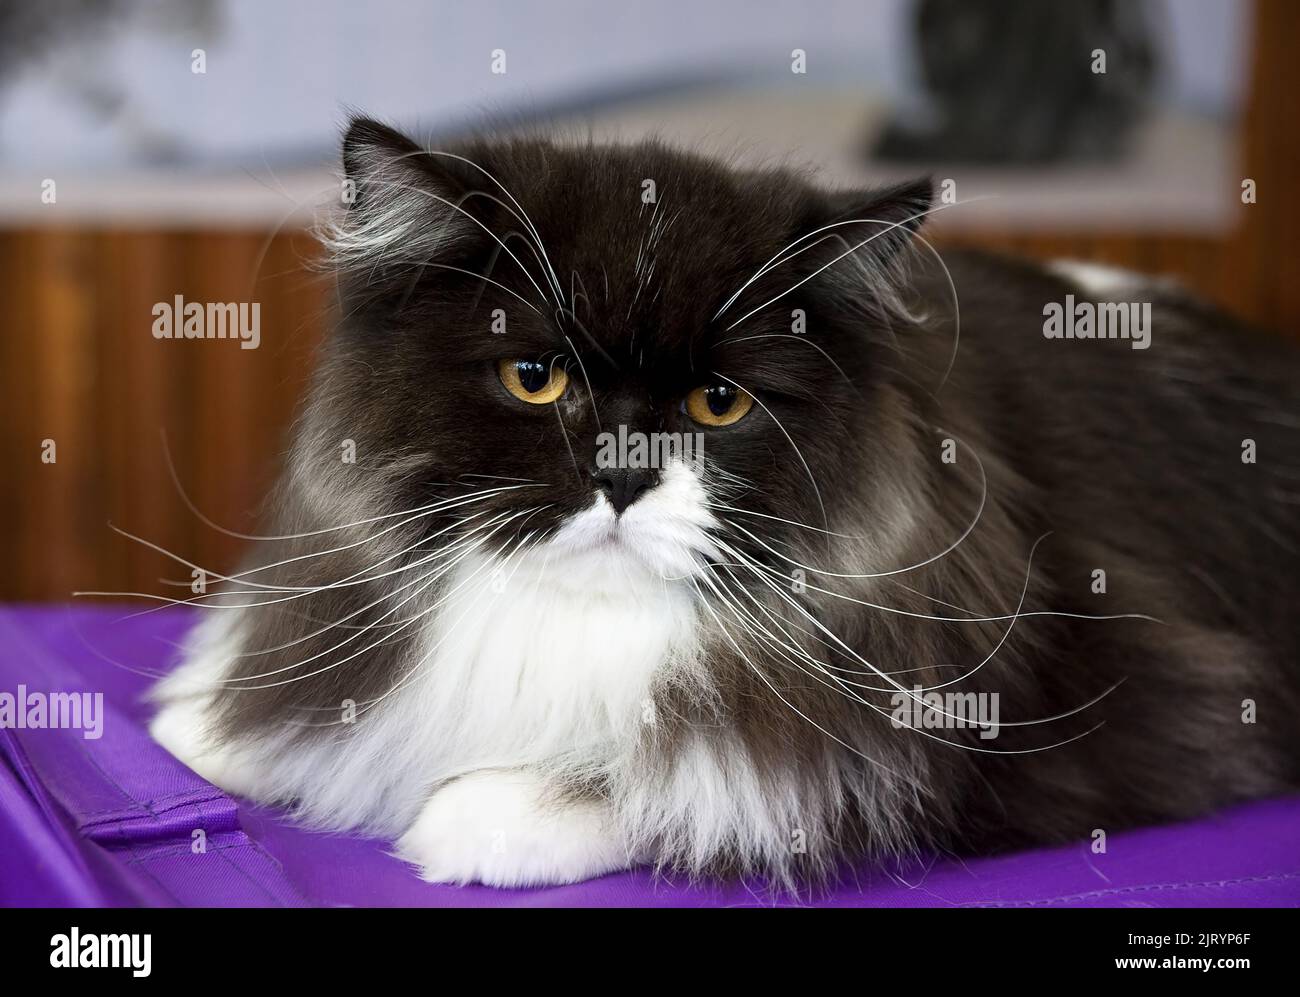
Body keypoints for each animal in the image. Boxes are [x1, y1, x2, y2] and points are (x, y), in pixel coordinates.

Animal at [150, 116, 1300, 888]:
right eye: (535, 378)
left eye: (717, 403)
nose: (623, 471)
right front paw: (196, 722)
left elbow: (701, 783)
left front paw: (479, 819)